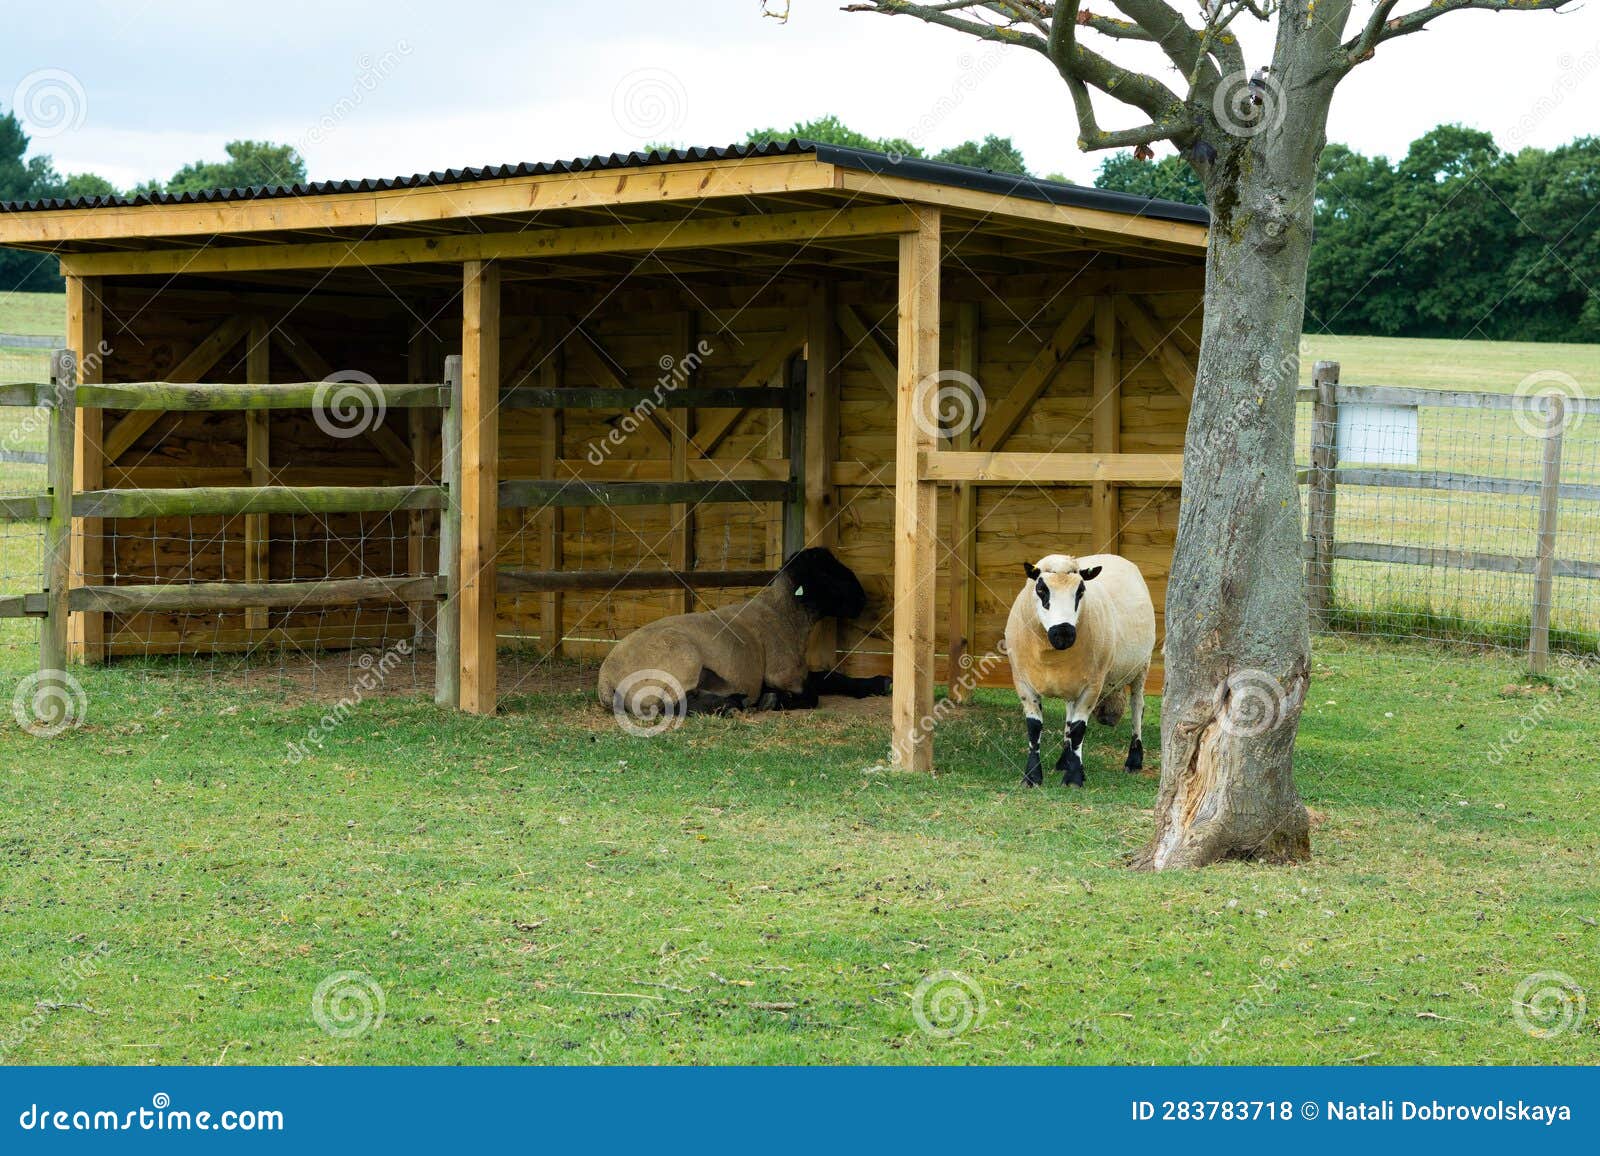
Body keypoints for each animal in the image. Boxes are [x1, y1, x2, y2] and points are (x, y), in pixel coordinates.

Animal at [598, 547, 890, 726]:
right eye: (827, 573)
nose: (862, 599)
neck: (784, 613)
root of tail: (605, 678)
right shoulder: (784, 673)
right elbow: (812, 694)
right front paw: (773, 700)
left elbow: (831, 677)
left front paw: (879, 683)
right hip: (681, 658)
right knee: (671, 704)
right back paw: (731, 704)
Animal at [1003, 553, 1155, 788]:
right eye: (1041, 589)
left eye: (1081, 590)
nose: (1063, 633)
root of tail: (1114, 556)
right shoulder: (1022, 682)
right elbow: (1034, 728)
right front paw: (1032, 777)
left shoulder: (1093, 685)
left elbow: (1078, 729)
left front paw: (1074, 778)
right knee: (1069, 711)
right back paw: (1064, 760)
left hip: (1141, 666)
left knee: (1137, 707)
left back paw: (1134, 760)